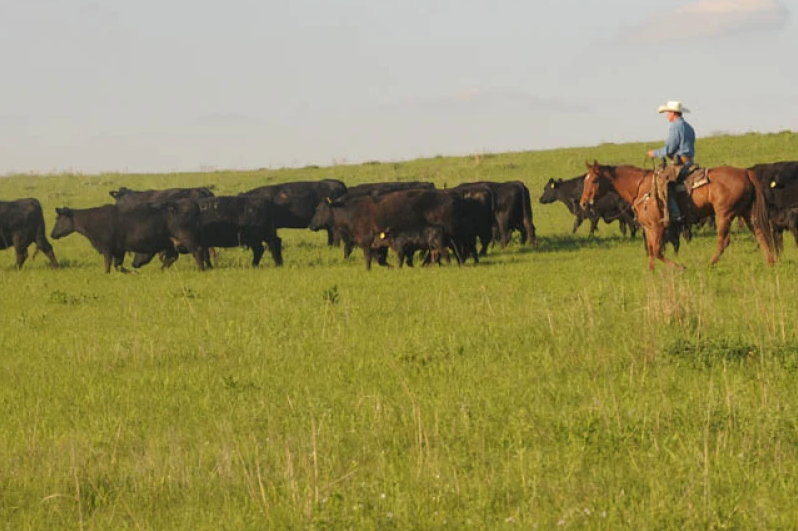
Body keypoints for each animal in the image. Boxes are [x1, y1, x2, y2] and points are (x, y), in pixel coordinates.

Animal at [51, 201, 205, 273]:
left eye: (58, 218)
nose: (52, 234)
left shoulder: (107, 248)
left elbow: (108, 266)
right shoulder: (119, 250)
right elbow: (118, 266)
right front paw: (132, 272)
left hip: (186, 238)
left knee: (197, 251)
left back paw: (201, 269)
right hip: (172, 243)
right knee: (171, 258)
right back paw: (161, 270)